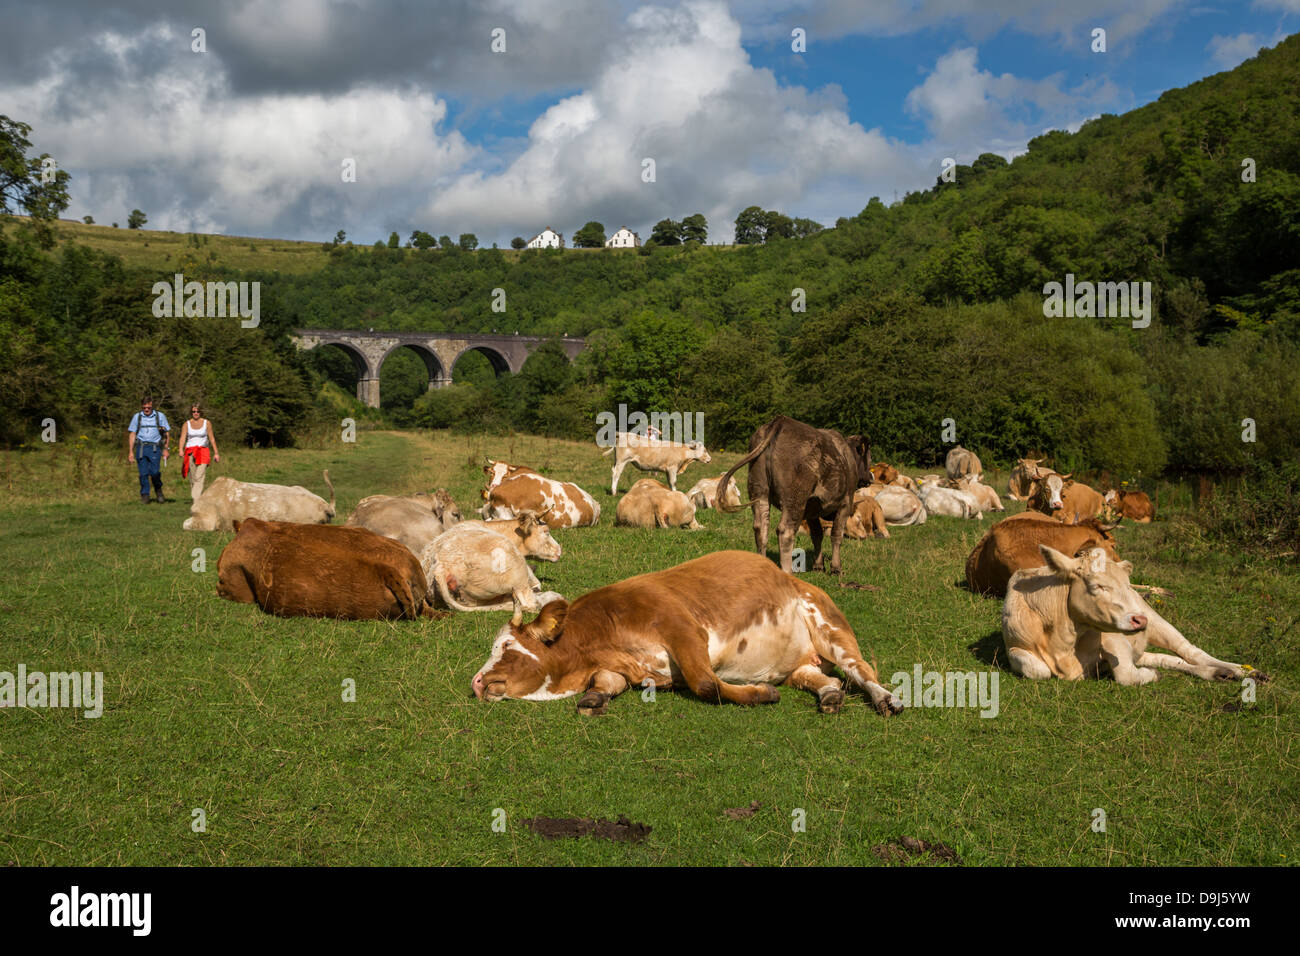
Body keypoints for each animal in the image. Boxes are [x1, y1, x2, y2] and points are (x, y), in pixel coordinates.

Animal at [470, 550, 903, 716]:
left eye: (505, 645)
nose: (475, 682)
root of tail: (789, 575)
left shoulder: (682, 628)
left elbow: (705, 683)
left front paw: (760, 694)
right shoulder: (622, 666)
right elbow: (605, 683)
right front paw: (594, 697)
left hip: (829, 624)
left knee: (861, 670)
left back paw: (887, 699)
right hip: (797, 662)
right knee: (822, 677)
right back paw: (829, 696)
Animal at [717, 416, 870, 574]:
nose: (870, 478)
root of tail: (781, 421)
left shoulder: (812, 509)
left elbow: (817, 535)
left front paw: (818, 566)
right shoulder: (845, 503)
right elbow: (836, 535)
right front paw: (836, 568)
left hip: (759, 491)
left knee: (761, 528)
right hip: (794, 499)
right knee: (786, 531)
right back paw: (788, 572)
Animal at [1003, 545, 1261, 685]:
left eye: (1127, 586)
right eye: (1097, 586)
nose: (1139, 620)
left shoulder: (1113, 636)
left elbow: (1126, 674)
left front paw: (1150, 676)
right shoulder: (1014, 646)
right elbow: (1038, 670)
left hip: (1156, 622)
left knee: (1191, 651)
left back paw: (1244, 670)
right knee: (1167, 658)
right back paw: (1219, 674)